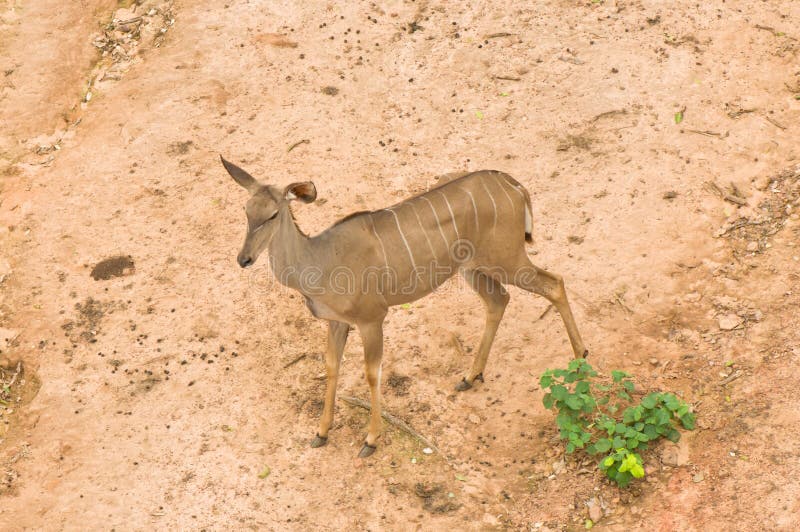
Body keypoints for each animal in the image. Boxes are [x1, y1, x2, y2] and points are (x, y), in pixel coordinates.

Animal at [221, 156, 587, 458]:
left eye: (272, 214)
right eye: (245, 212)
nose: (244, 259)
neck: (320, 261)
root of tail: (513, 184)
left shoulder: (372, 319)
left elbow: (372, 373)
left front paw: (370, 440)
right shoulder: (337, 322)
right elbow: (331, 367)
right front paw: (321, 433)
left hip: (507, 259)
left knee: (554, 283)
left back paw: (581, 358)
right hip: (473, 268)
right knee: (499, 300)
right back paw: (470, 376)